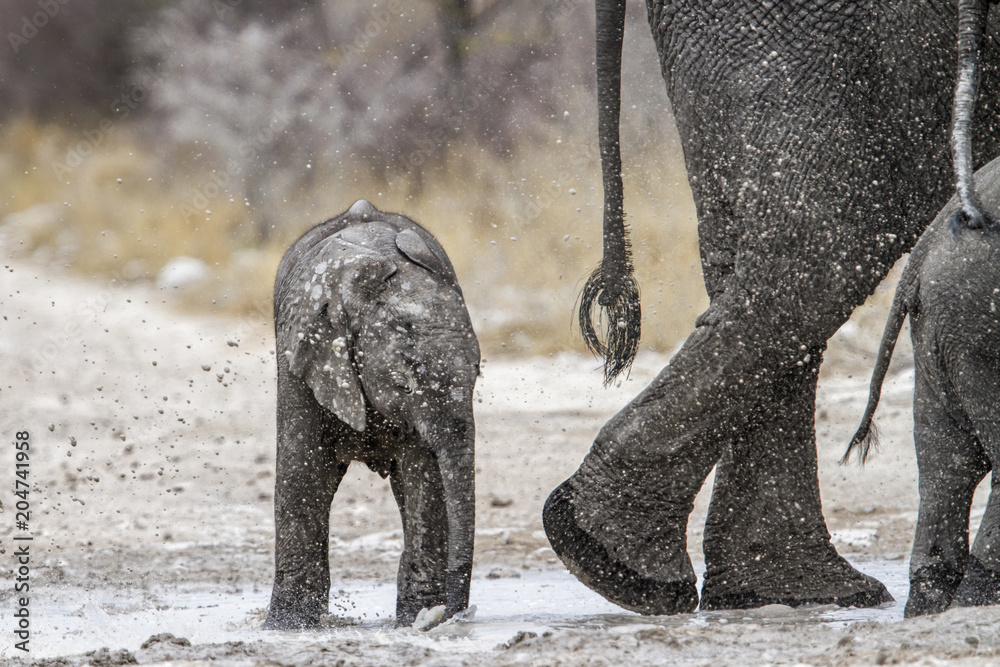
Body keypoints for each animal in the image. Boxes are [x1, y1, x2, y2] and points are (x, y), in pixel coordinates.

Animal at [263, 199, 481, 630]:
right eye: (404, 383)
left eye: (478, 374)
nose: (452, 614)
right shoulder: (298, 356)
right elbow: (302, 473)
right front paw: (285, 628)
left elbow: (424, 478)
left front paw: (416, 619)